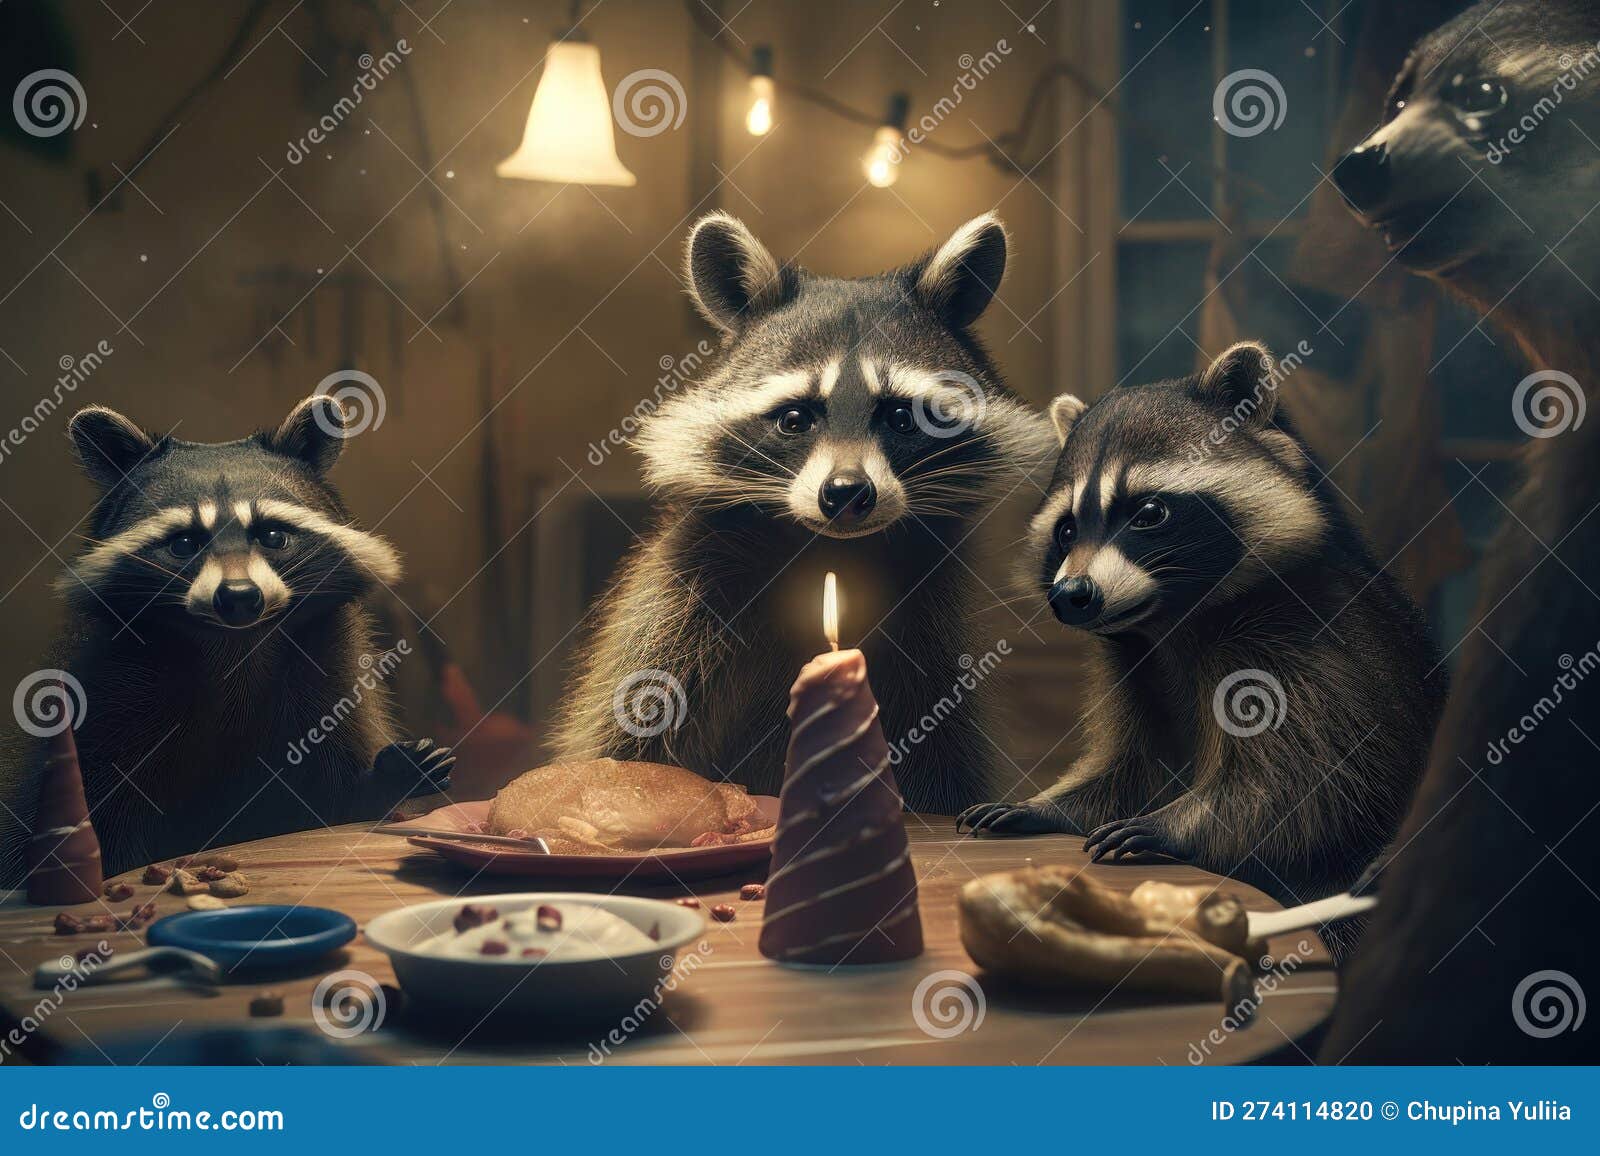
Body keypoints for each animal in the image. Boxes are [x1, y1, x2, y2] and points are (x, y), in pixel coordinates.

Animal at [0, 396, 453, 881]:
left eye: (272, 535)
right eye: (184, 543)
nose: (238, 596)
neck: (236, 645)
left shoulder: (332, 675)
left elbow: (335, 797)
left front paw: (390, 778)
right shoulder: (110, 696)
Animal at [550, 213, 1055, 813]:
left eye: (901, 419)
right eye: (795, 418)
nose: (846, 493)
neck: (828, 555)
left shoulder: (934, 641)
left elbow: (951, 762)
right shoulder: (680, 612)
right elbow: (623, 732)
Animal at [958, 342, 1449, 955]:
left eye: (1148, 513)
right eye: (1067, 529)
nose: (1072, 595)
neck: (1171, 623)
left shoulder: (1317, 646)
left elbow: (1308, 788)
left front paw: (1176, 826)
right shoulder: (1133, 667)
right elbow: (1128, 769)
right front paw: (1048, 804)